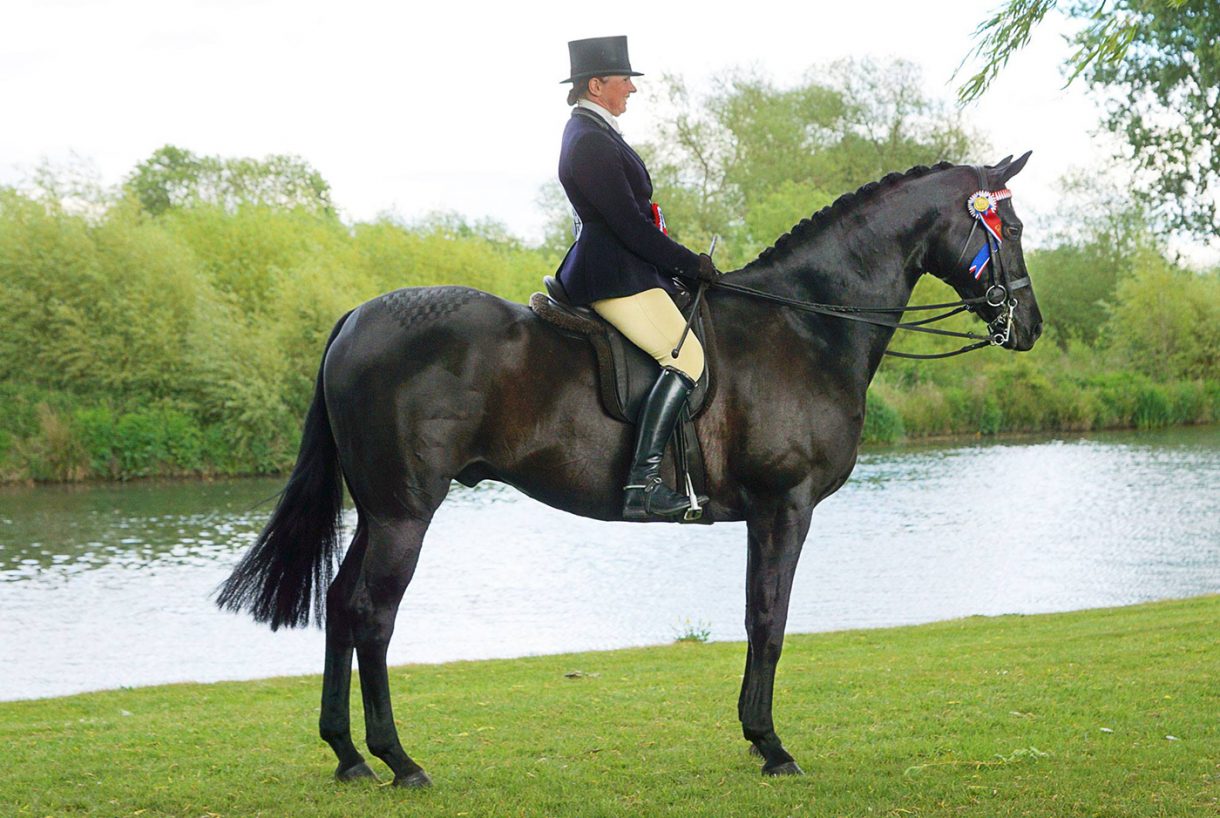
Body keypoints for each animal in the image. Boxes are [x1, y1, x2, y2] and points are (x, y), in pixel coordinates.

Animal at [218, 154, 1043, 786]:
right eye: (1010, 227)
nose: (1029, 326)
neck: (805, 324)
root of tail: (356, 317)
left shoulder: (766, 512)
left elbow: (755, 617)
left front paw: (757, 738)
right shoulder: (787, 503)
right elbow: (770, 620)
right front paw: (772, 746)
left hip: (378, 507)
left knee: (339, 604)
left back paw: (348, 756)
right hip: (405, 512)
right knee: (372, 615)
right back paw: (399, 760)